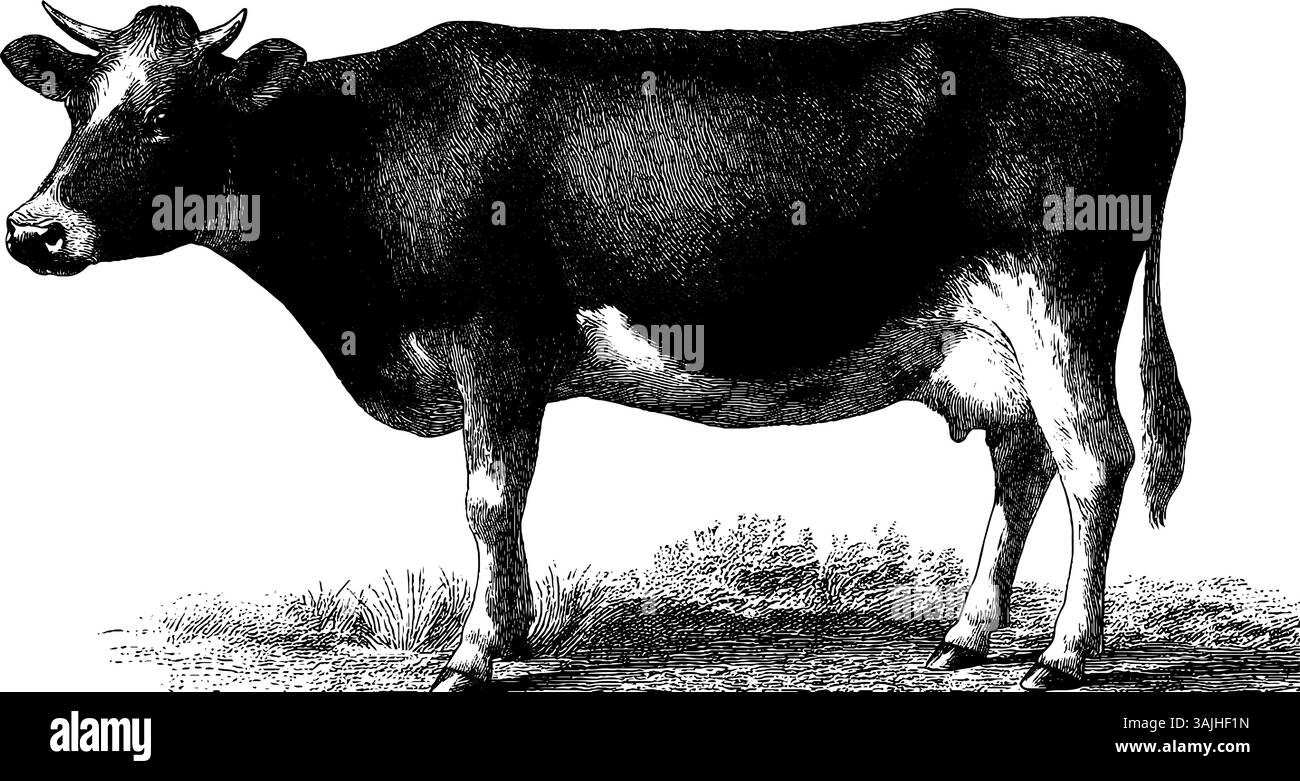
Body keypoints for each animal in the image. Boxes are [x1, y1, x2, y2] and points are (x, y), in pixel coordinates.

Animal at [3, 4, 1189, 690]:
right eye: (76, 107)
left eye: (169, 116)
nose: (34, 229)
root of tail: (1123, 41)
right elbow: (509, 501)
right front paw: (517, 637)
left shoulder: (495, 342)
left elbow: (488, 497)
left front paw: (477, 653)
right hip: (985, 336)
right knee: (1023, 461)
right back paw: (967, 636)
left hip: (1057, 303)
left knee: (1096, 457)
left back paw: (1063, 654)